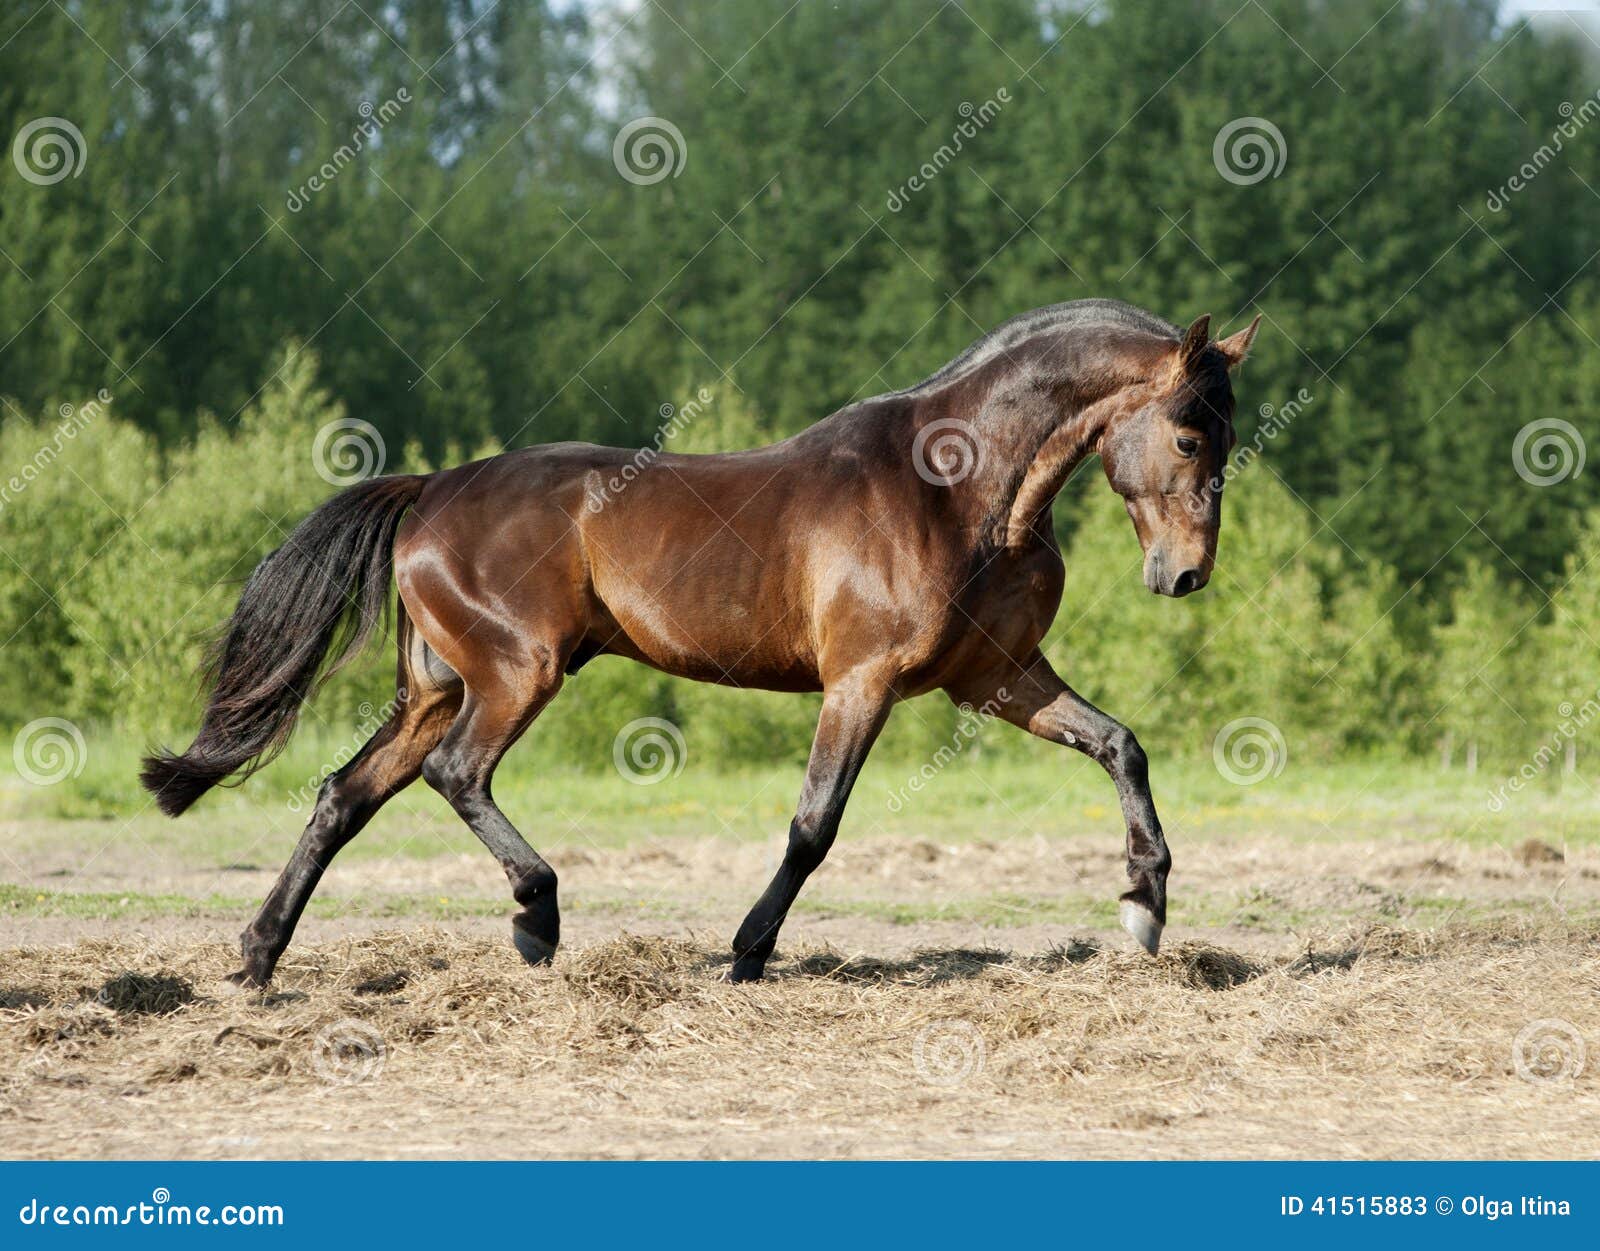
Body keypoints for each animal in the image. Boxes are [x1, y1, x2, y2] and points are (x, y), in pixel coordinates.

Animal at [141, 298, 1259, 988]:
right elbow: (813, 827)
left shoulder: (997, 678)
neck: (959, 488)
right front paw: (745, 953)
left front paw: (1145, 903)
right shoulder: (862, 683)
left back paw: (256, 958)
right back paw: (537, 919)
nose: (1184, 575)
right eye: (1189, 435)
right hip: (514, 674)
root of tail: (430, 492)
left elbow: (1121, 746)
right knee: (455, 775)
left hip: (438, 687)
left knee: (344, 794)